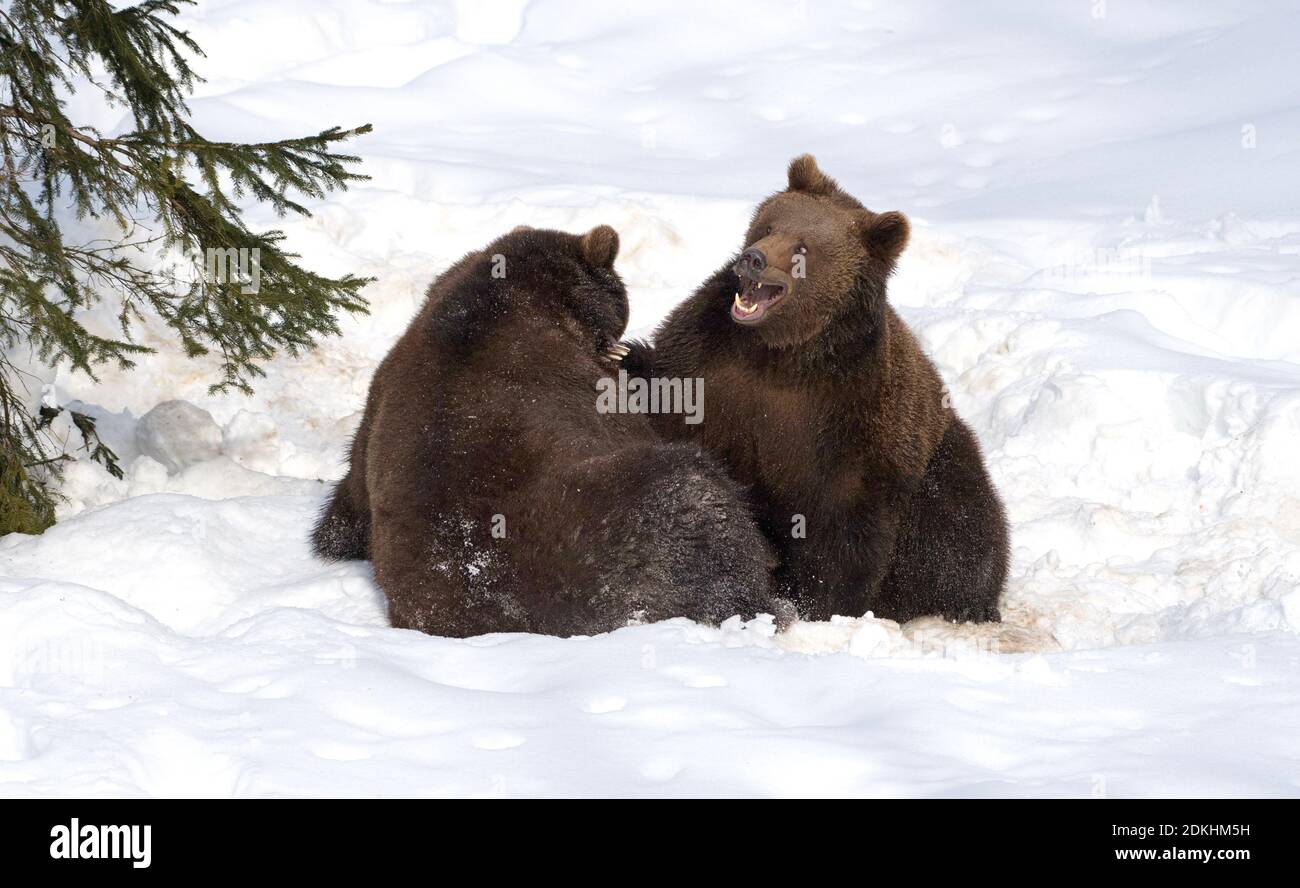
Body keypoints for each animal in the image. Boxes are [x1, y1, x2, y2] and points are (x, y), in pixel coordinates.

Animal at [622, 155, 1008, 625]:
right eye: (768, 225)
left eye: (802, 248)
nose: (752, 259)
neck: (784, 355)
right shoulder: (713, 362)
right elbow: (670, 400)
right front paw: (626, 358)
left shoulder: (849, 420)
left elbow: (843, 526)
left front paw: (820, 605)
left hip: (942, 464)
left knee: (960, 529)